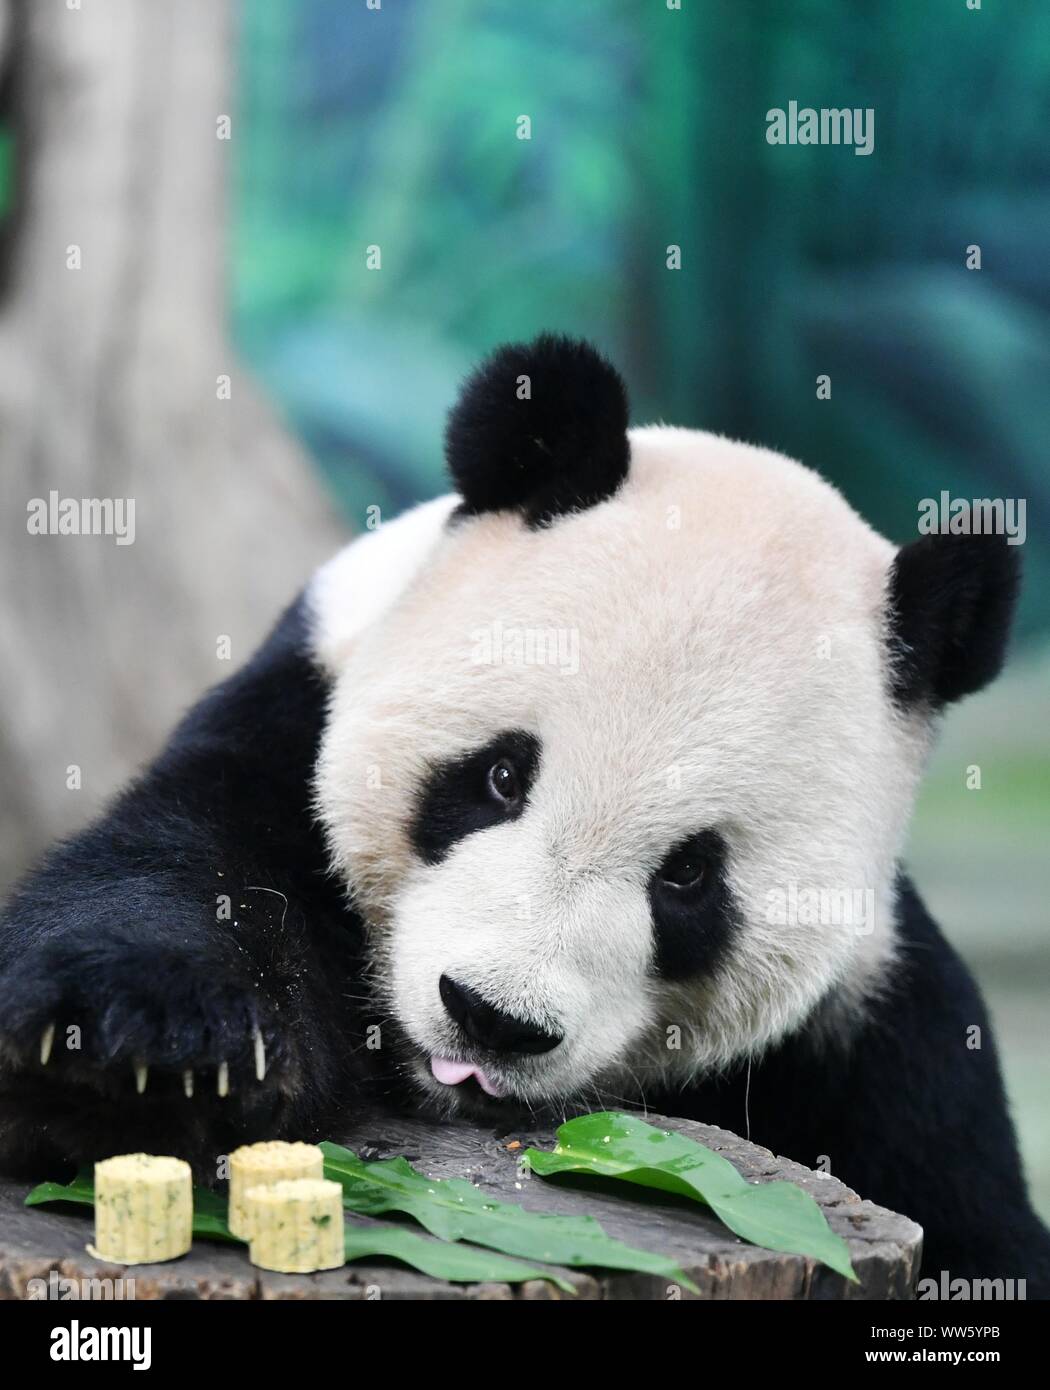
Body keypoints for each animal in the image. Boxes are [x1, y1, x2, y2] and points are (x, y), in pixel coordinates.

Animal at [0, 334, 1047, 1293]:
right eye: (501, 777)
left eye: (690, 875)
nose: (492, 1019)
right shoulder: (290, 726)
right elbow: (176, 874)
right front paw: (143, 1057)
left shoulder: (874, 1032)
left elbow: (974, 1214)